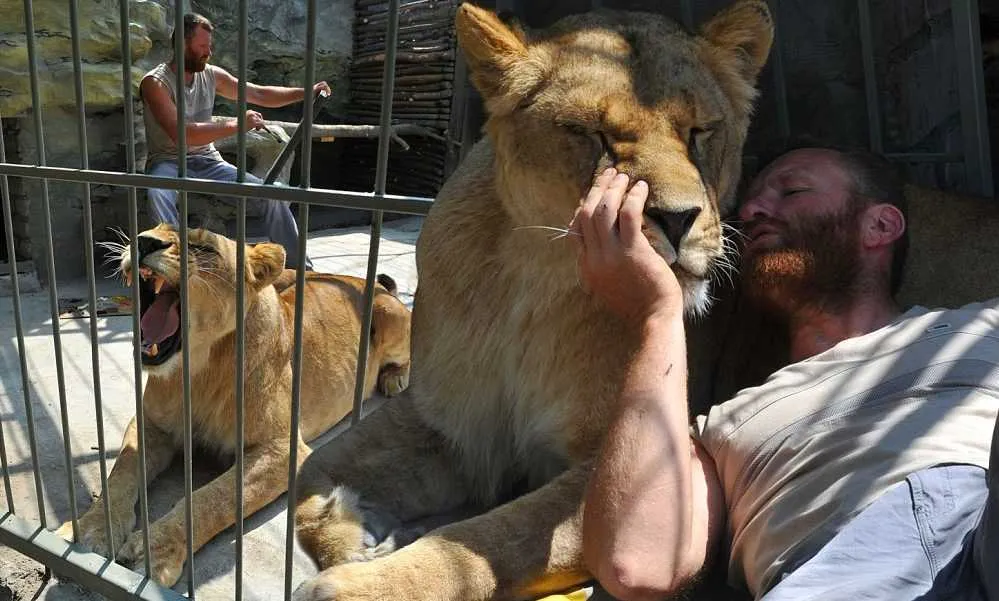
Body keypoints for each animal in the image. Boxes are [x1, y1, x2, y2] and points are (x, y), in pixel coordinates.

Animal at [54, 224, 412, 587]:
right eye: (150, 229)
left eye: (203, 248)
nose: (143, 242)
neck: (199, 370)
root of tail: (369, 282)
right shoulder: (150, 425)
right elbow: (121, 474)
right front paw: (89, 530)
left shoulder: (282, 449)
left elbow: (212, 500)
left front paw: (152, 553)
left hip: (390, 316)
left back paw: (394, 380)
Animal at [290, 2, 773, 600]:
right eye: (593, 134)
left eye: (701, 131)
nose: (679, 219)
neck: (537, 277)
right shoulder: (449, 422)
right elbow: (310, 475)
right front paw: (351, 538)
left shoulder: (614, 466)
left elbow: (488, 540)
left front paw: (363, 584)